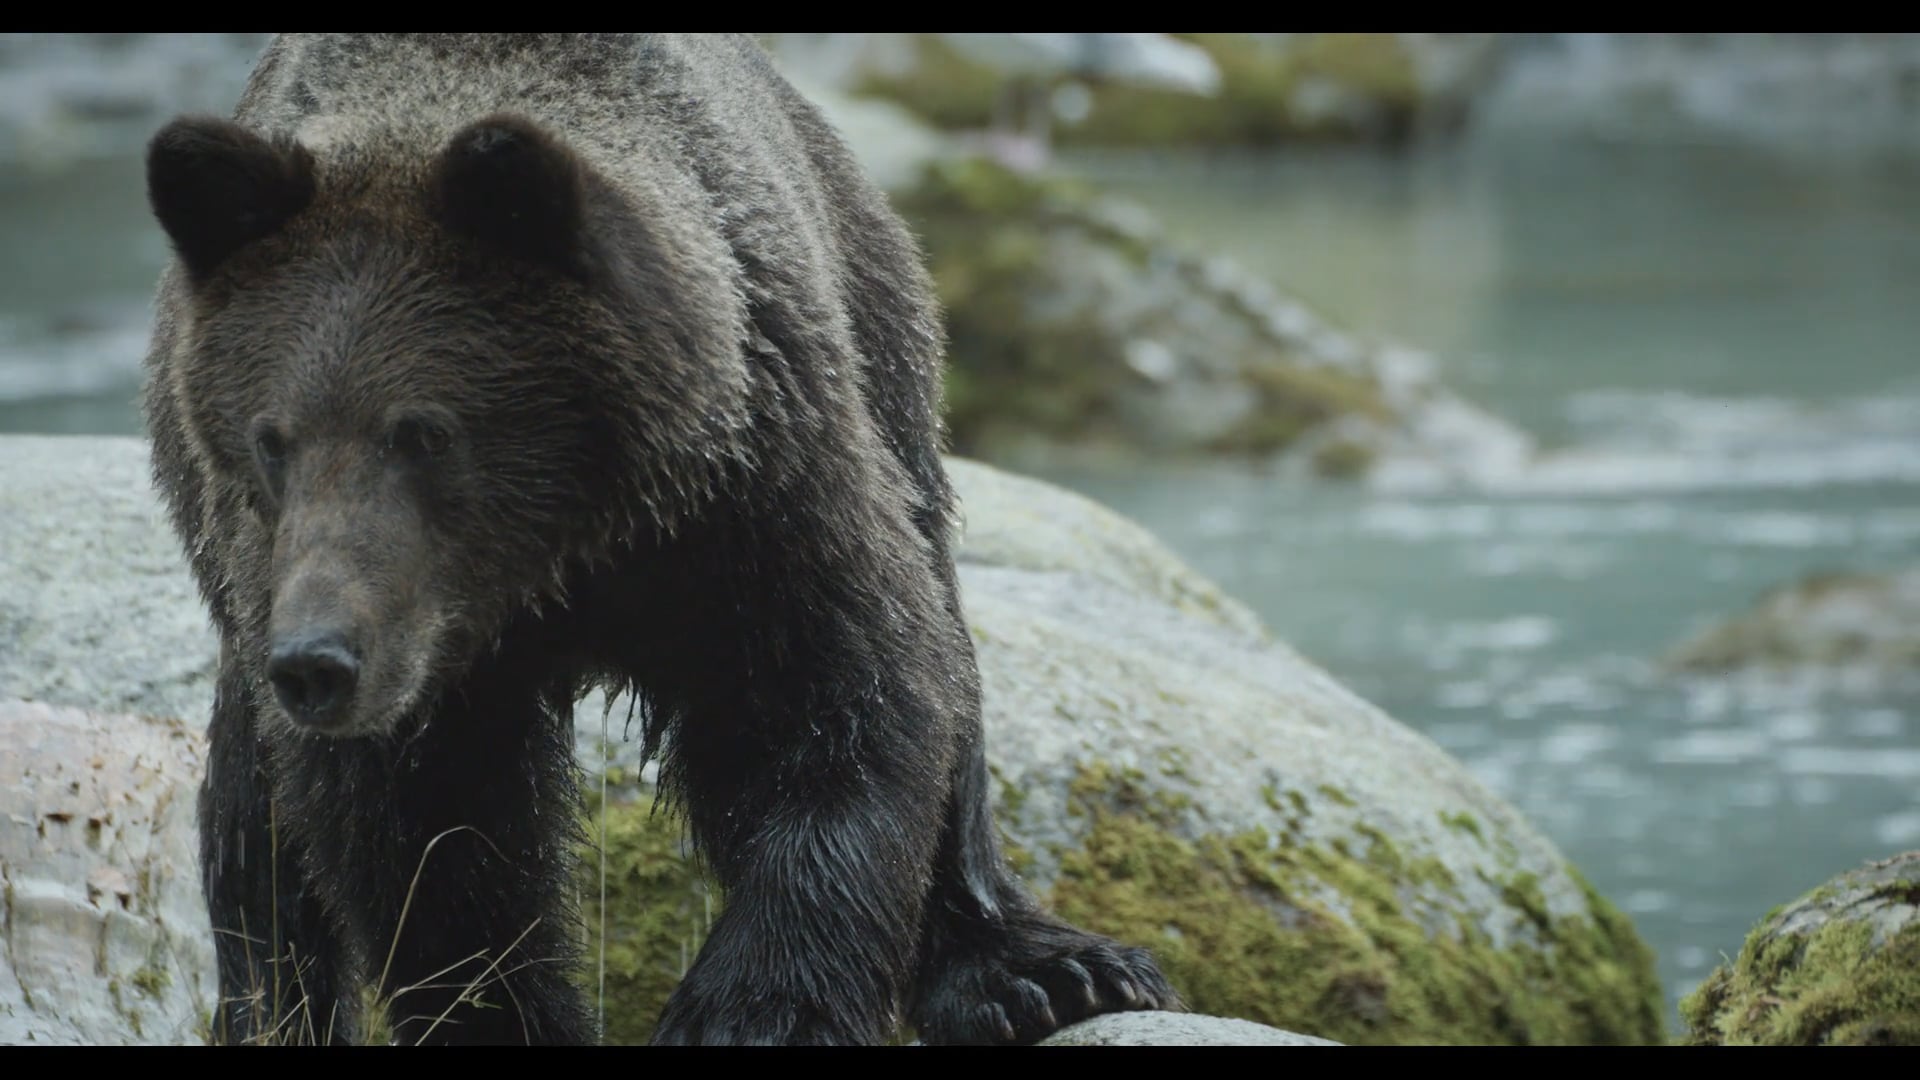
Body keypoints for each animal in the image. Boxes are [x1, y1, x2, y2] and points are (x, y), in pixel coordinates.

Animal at [140, 33, 1176, 1046]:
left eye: (424, 433)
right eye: (272, 439)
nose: (320, 660)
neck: (564, 553)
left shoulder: (754, 492)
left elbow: (847, 699)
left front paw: (751, 1012)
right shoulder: (379, 639)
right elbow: (430, 841)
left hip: (882, 344)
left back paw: (1040, 970)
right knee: (256, 828)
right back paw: (272, 1014)